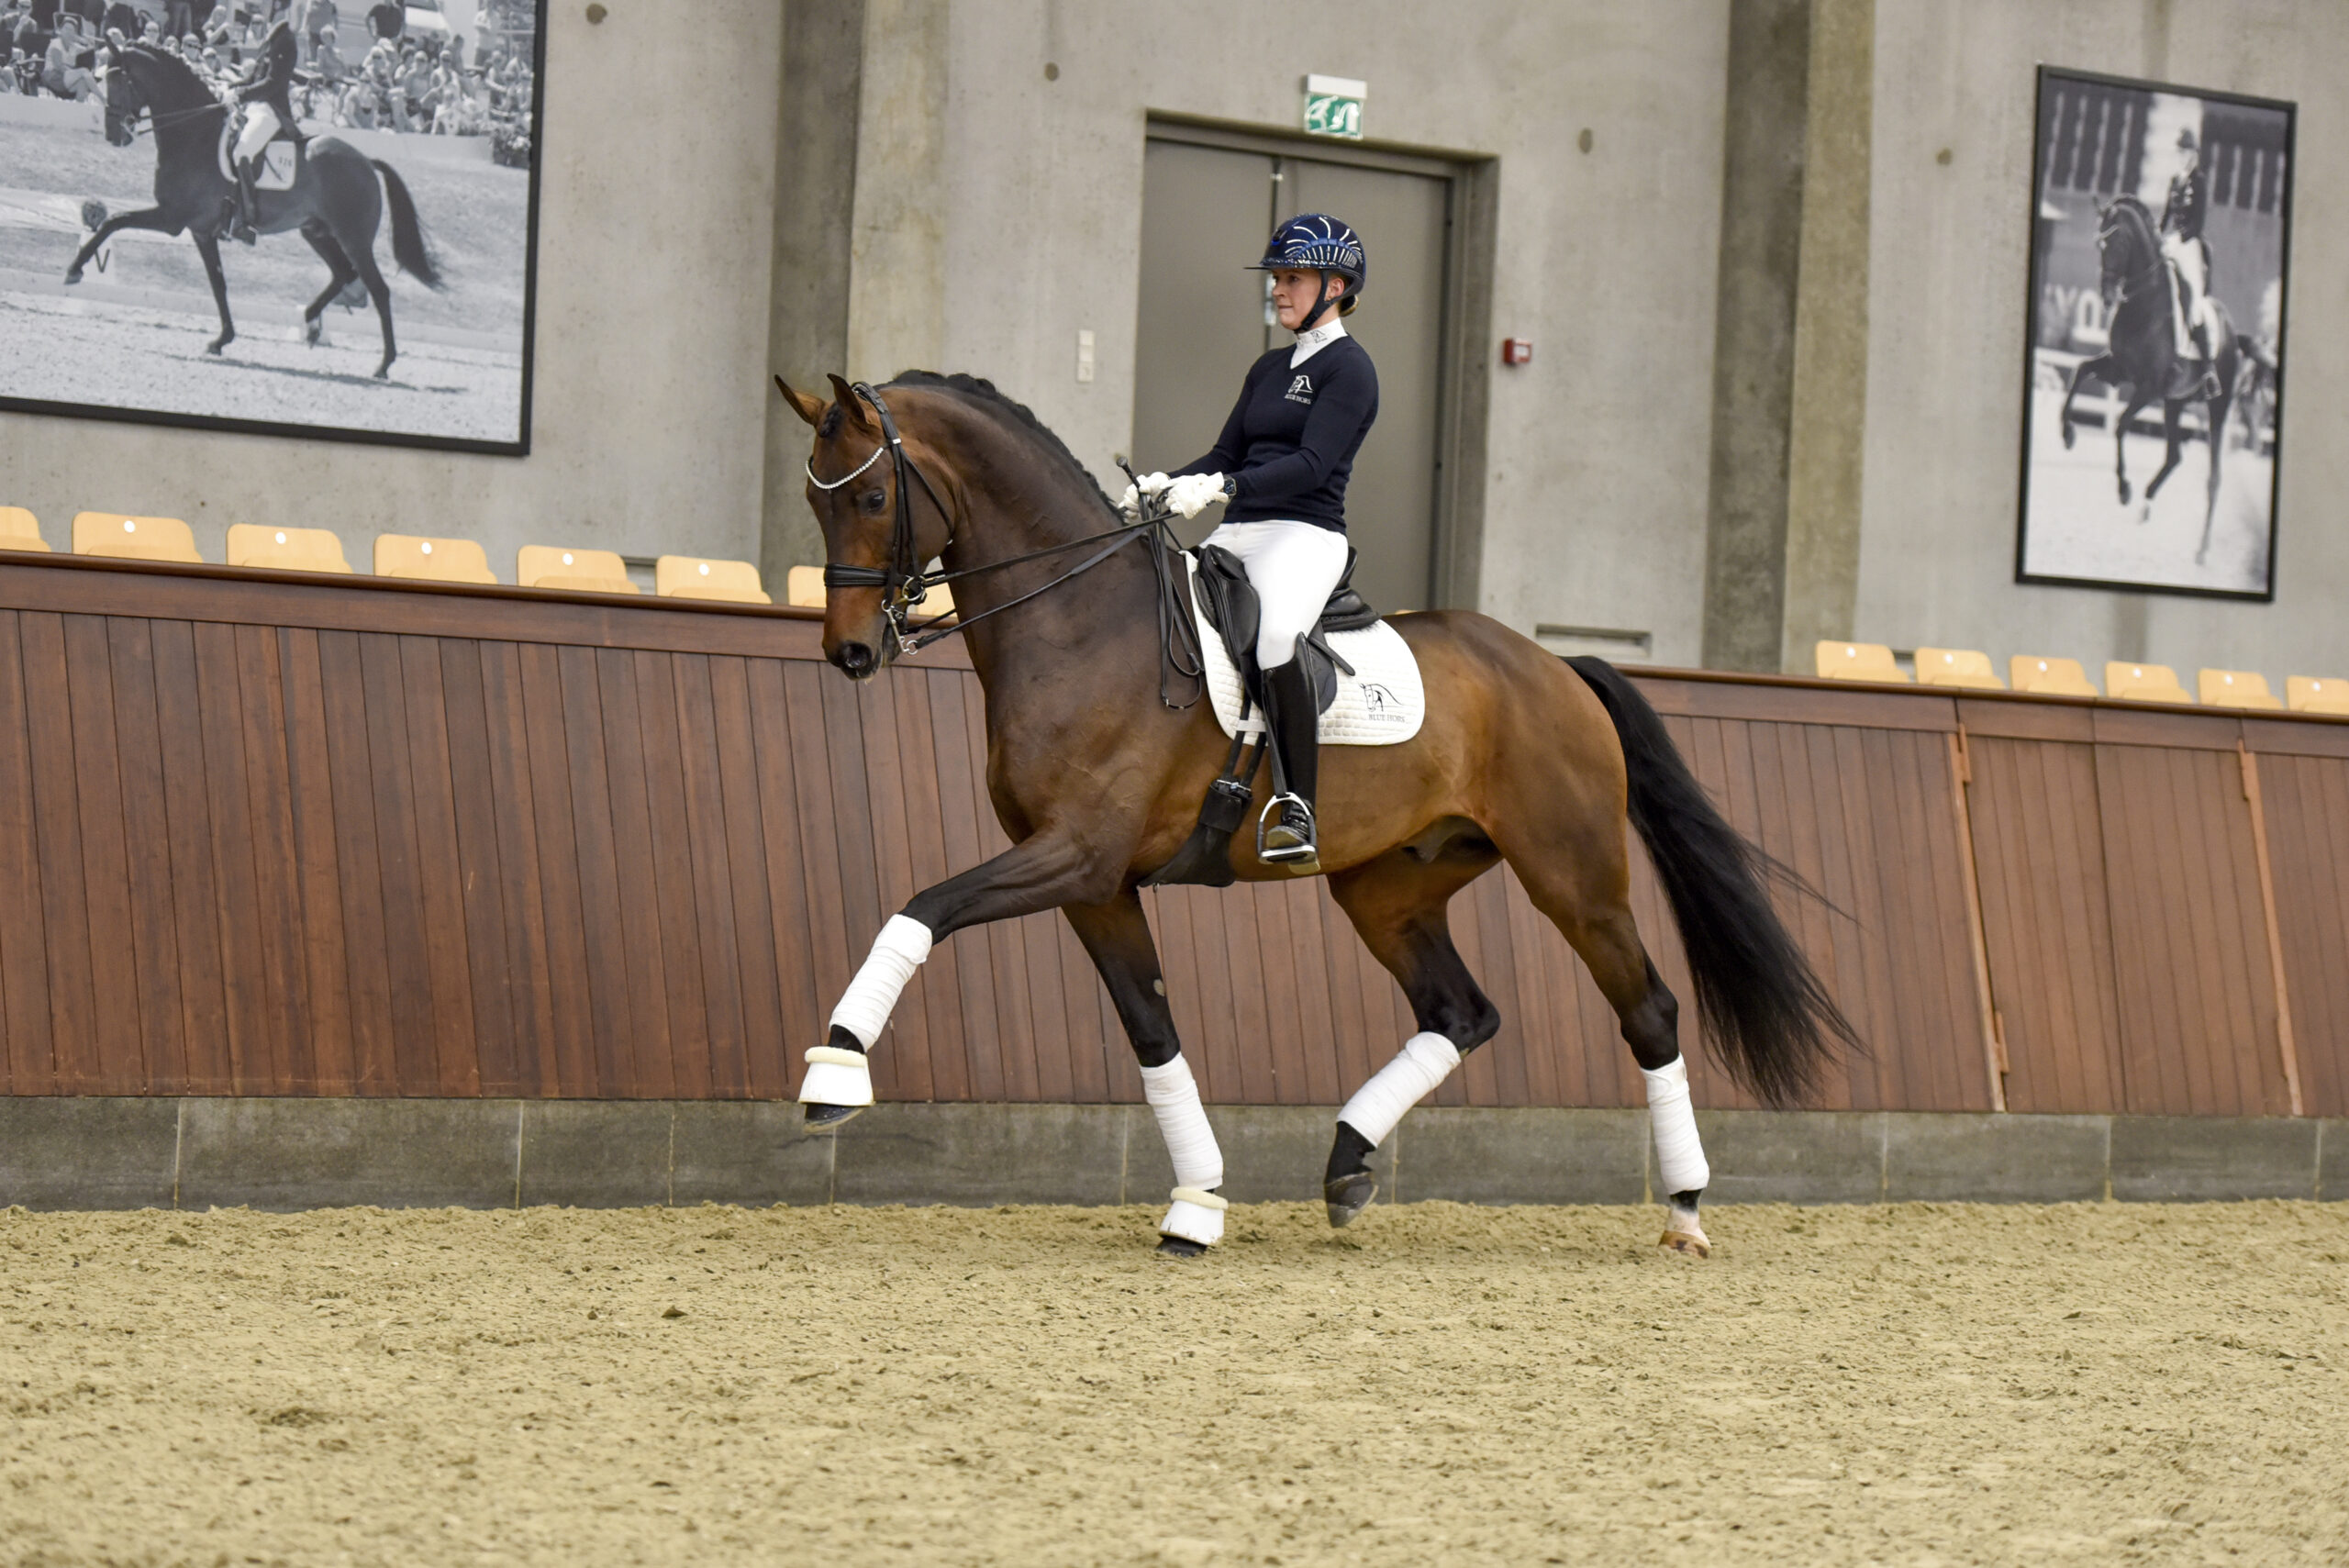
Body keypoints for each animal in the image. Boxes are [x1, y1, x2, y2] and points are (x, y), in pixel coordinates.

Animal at [69, 44, 441, 380]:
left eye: (119, 81)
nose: (113, 134)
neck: (194, 134)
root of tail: (366, 162)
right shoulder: (200, 231)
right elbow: (218, 285)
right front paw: (221, 340)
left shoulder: (172, 218)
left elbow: (113, 222)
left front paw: (74, 270)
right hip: (316, 231)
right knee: (343, 274)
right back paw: (310, 324)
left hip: (354, 238)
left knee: (378, 289)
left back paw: (383, 365)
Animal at [774, 370, 1859, 1260]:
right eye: (812, 497)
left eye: (871, 496)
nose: (850, 653)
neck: (1082, 625)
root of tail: (1554, 664)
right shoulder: (1096, 883)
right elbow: (1152, 1031)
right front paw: (1198, 1202)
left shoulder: (1075, 855)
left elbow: (922, 907)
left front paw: (836, 1073)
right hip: (1388, 887)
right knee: (1462, 1011)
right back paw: (1345, 1164)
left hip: (1574, 875)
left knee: (1649, 1010)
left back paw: (1684, 1207)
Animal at [2056, 195, 2241, 565]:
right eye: (2099, 244)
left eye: (2119, 243)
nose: (2108, 297)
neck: (2144, 304)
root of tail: (2233, 330)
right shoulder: (2119, 369)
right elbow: (2080, 369)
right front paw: (2067, 433)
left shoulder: (2149, 387)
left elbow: (2120, 426)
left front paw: (2123, 488)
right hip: (2174, 402)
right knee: (2174, 456)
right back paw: (2146, 503)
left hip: (2215, 408)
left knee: (2213, 477)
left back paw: (2202, 549)